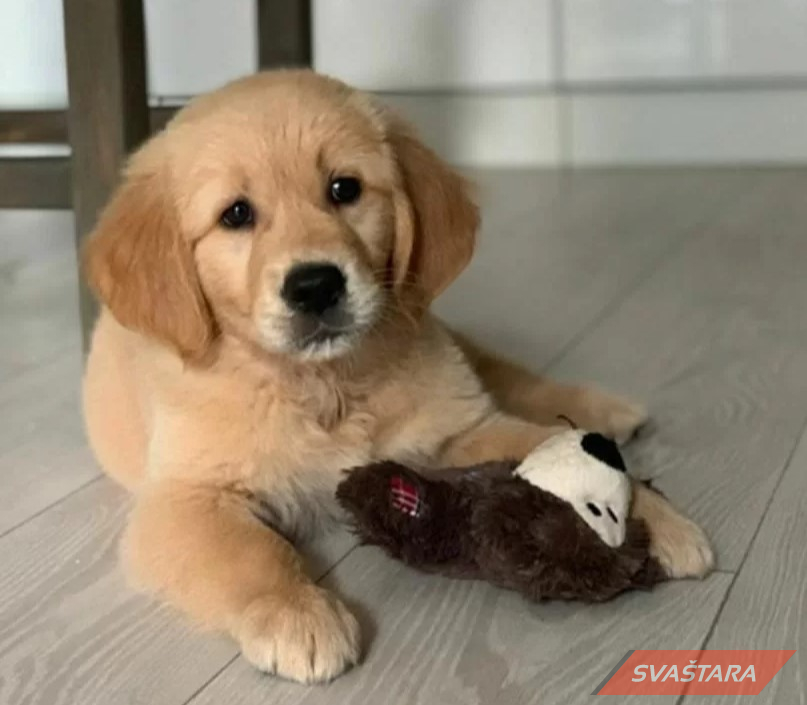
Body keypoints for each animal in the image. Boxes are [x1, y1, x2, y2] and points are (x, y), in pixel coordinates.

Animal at [82, 70, 712, 680]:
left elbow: (545, 445)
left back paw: (602, 408)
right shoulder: (184, 498)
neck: (325, 383)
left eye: (345, 189)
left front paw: (658, 519)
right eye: (236, 214)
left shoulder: (459, 431)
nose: (315, 286)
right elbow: (250, 552)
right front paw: (297, 615)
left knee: (513, 378)